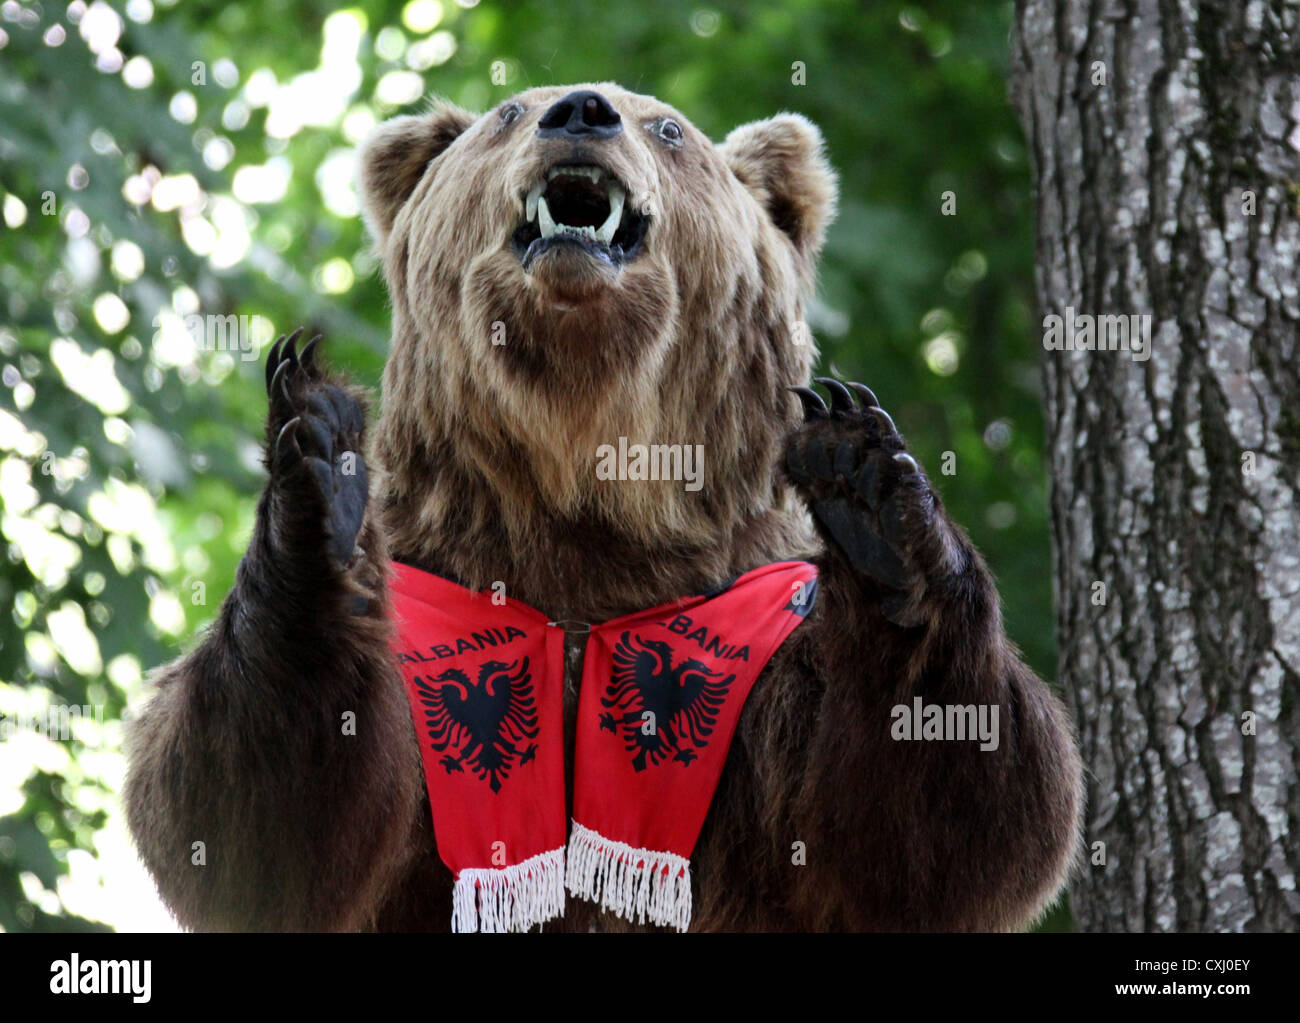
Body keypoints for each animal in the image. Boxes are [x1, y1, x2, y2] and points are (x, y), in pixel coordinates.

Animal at [123, 83, 1083, 932]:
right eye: (508, 111)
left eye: (669, 129)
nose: (580, 110)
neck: (584, 480)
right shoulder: (425, 596)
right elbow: (246, 824)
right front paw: (321, 462)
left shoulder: (769, 643)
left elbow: (937, 824)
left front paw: (873, 500)